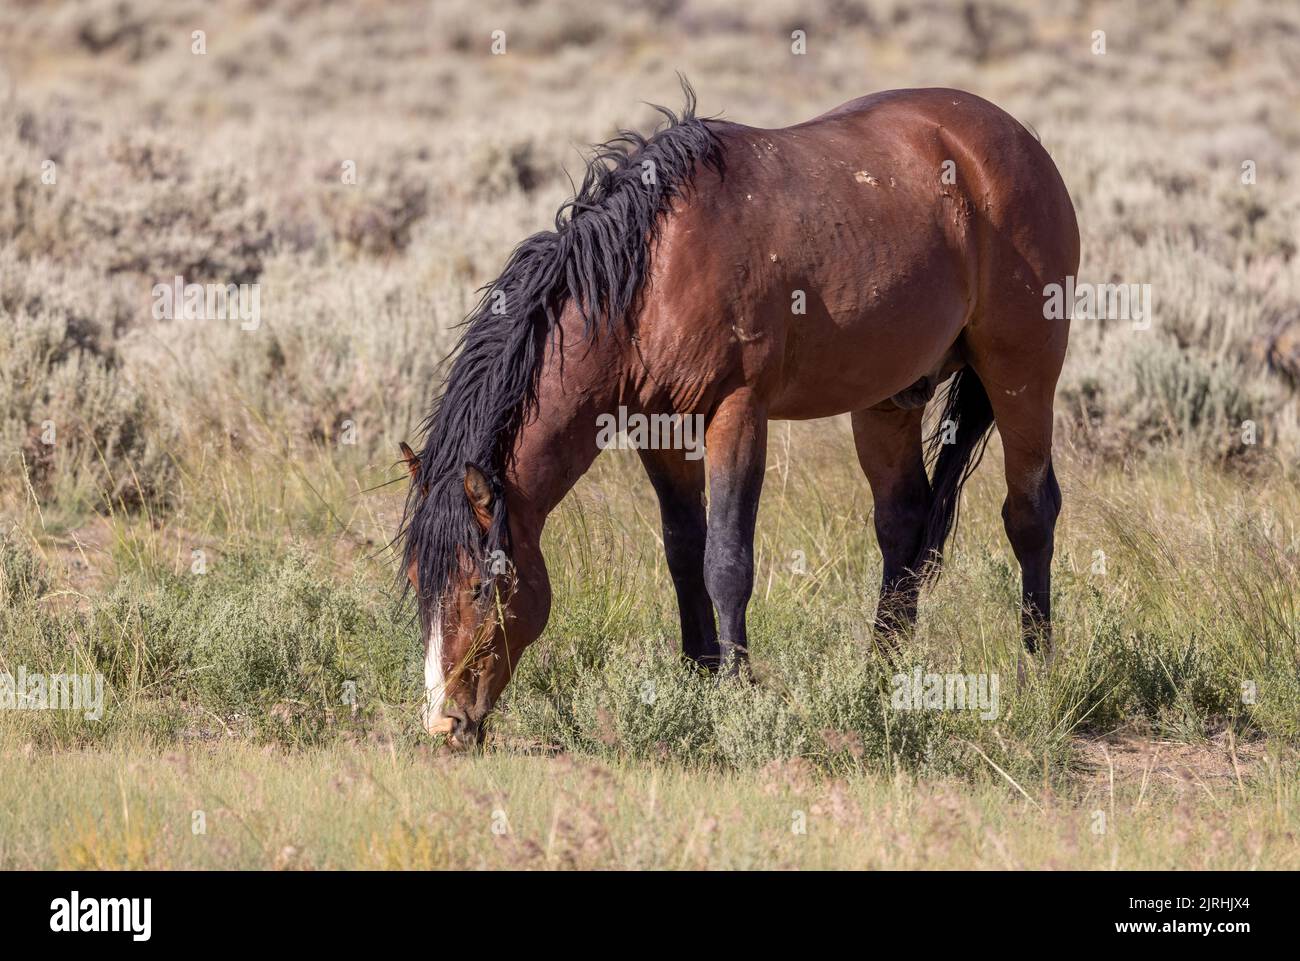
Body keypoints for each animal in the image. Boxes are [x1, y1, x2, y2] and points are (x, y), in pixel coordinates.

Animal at [399, 82, 1079, 748]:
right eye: (417, 580)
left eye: (483, 585)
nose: (445, 723)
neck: (653, 275)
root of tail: (1015, 140)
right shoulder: (661, 431)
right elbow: (682, 551)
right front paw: (696, 676)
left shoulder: (739, 413)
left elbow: (726, 560)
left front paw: (734, 691)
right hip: (888, 400)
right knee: (903, 524)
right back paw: (879, 678)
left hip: (1021, 373)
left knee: (1029, 512)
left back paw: (1034, 673)